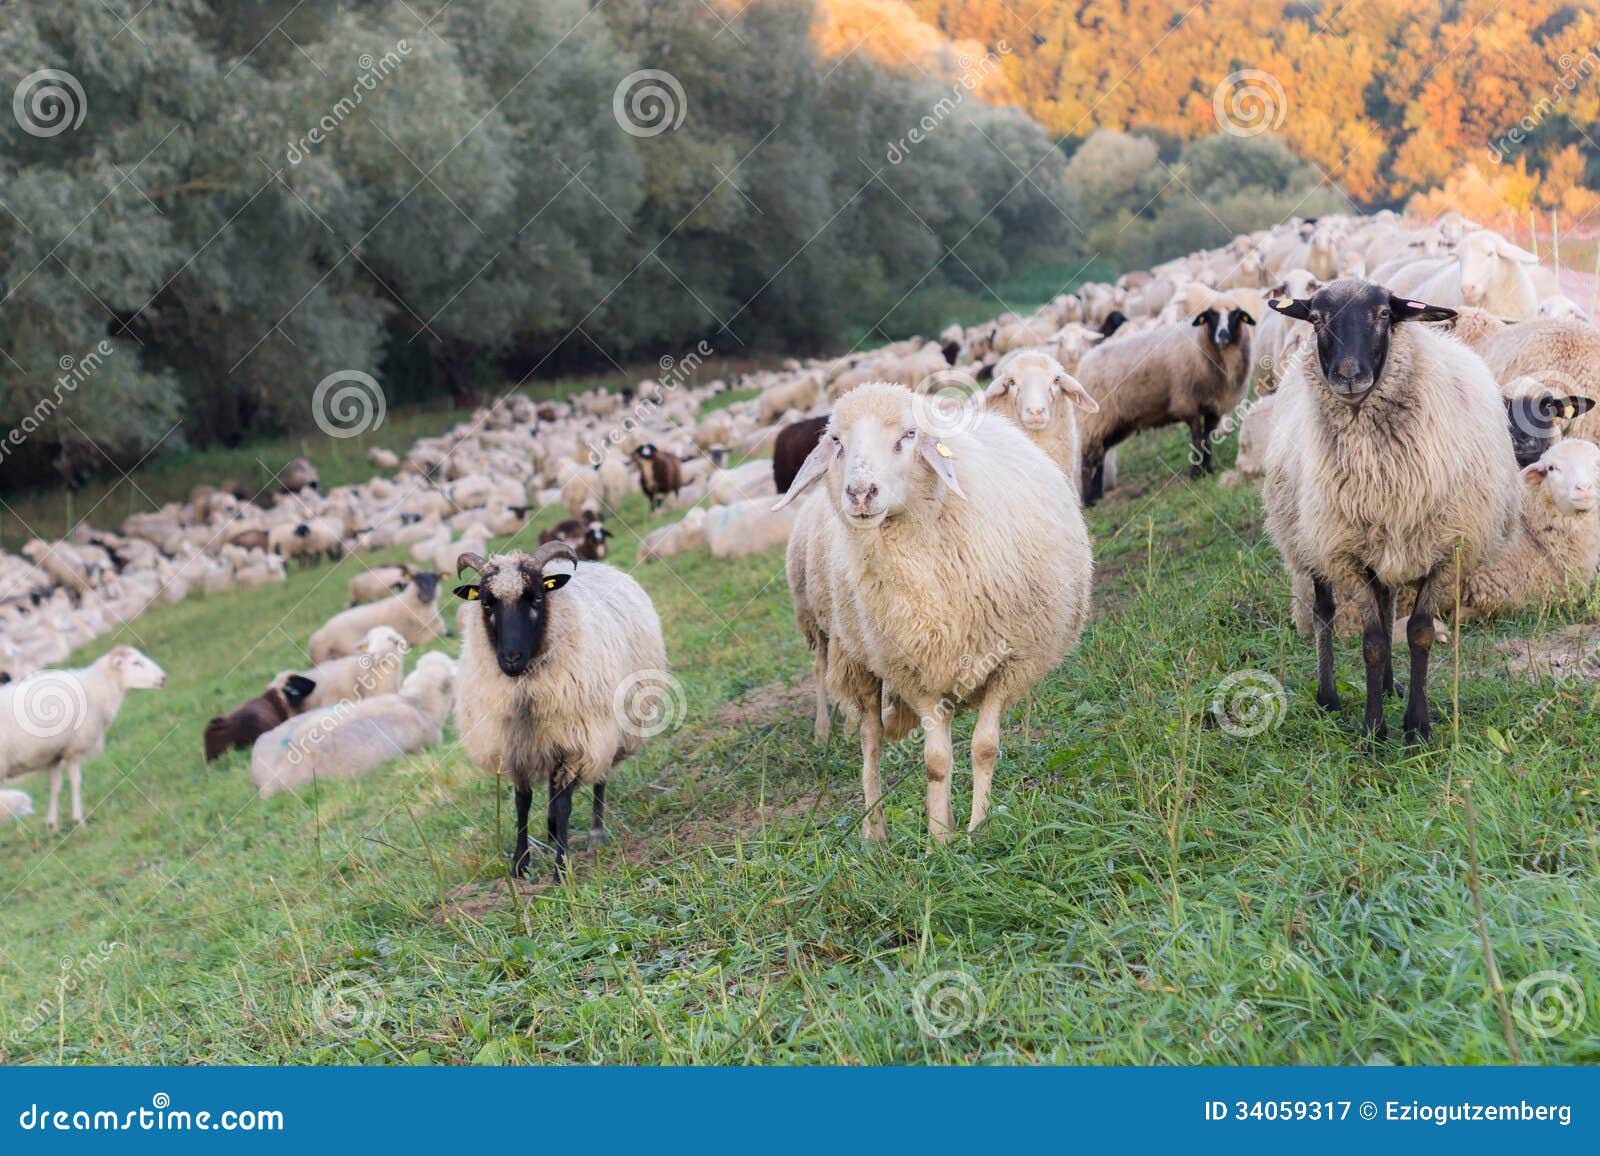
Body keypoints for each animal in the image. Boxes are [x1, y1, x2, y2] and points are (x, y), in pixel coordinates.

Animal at [0, 646, 167, 831]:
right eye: (136, 663)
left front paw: (52, 826)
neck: (97, 686)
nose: (163, 678)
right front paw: (79, 821)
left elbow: (55, 787)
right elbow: (76, 782)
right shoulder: (73, 750)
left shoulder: (54, 755)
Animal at [452, 543, 667, 880]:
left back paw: (594, 833)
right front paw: (520, 863)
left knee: (599, 778)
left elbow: (565, 802)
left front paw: (561, 867)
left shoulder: (578, 740)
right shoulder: (516, 747)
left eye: (537, 598)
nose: (511, 658)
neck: (526, 692)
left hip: (609, 731)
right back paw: (553, 831)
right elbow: (522, 802)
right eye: (487, 603)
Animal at [774, 382, 1092, 841]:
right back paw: (875, 833)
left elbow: (984, 748)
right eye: (836, 440)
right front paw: (939, 841)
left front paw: (977, 829)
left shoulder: (1011, 662)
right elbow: (936, 762)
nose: (860, 493)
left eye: (908, 434)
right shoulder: (914, 670)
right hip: (856, 654)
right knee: (871, 739)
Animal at [1076, 304, 1256, 504]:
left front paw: (1208, 471)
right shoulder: (1187, 402)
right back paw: (1089, 500)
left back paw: (1097, 494)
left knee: (1101, 453)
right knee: (1087, 458)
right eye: (1211, 316)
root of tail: (1085, 361)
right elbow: (1197, 439)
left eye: (1236, 316)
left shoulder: (1212, 406)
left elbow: (1207, 439)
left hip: (1115, 423)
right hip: (1095, 418)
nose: (1222, 336)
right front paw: (1196, 474)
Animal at [1263, 280, 1521, 742]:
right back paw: (1327, 697)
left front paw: (1417, 726)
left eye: (1384, 314)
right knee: (1325, 612)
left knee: (1387, 609)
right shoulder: (1346, 552)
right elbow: (1372, 642)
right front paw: (1372, 731)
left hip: (1387, 545)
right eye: (1316, 319)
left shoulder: (1445, 548)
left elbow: (1417, 633)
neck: (1379, 473)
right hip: (1310, 538)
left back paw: (1388, 687)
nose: (1348, 375)